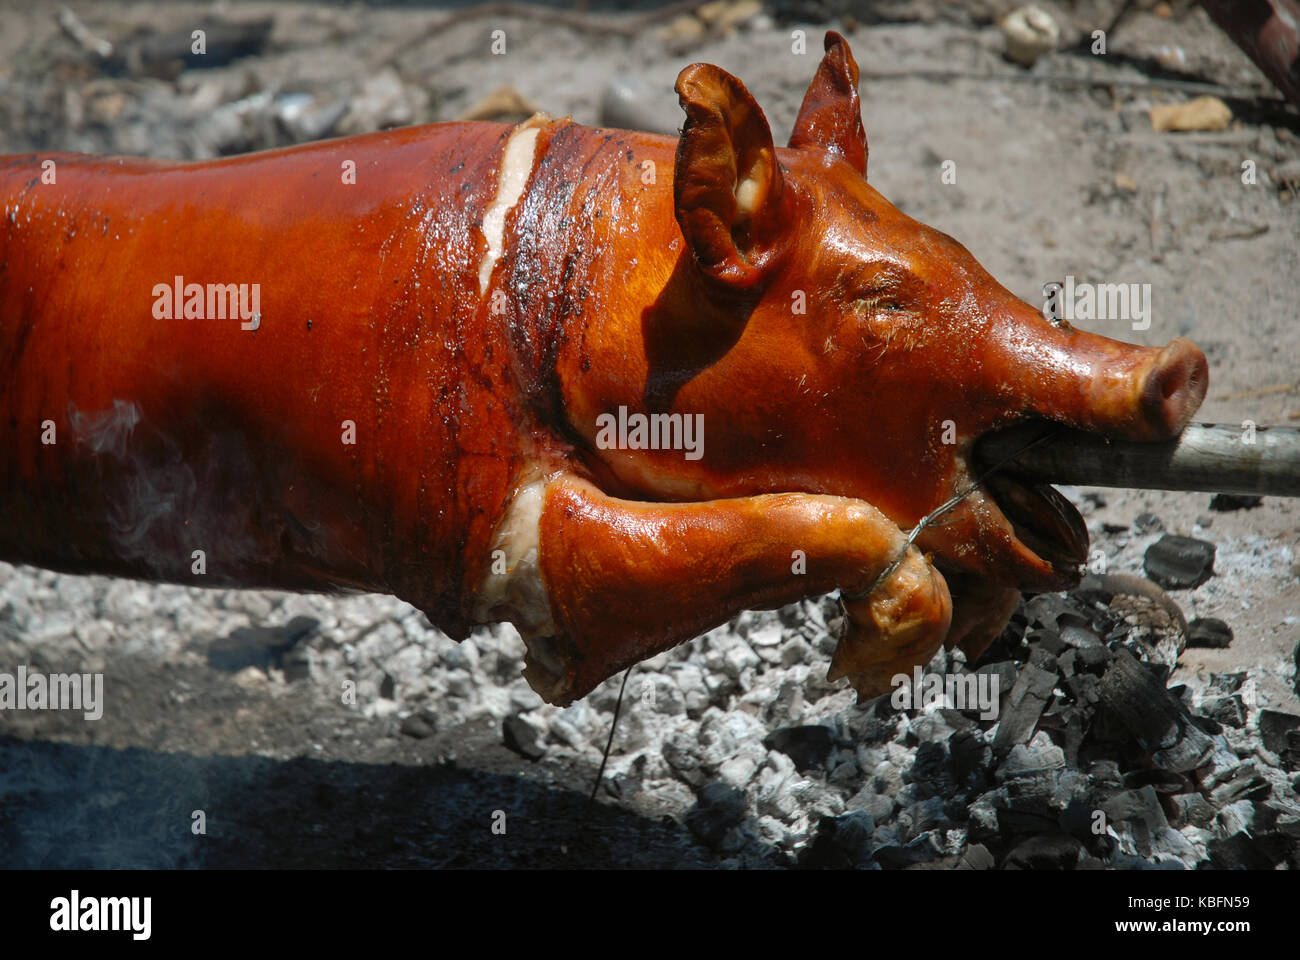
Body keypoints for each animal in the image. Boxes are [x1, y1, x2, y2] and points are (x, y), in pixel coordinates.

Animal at [0, 32, 1207, 706]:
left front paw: (972, 620)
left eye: (960, 251)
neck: (551, 294)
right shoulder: (483, 527)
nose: (1178, 369)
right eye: (882, 298)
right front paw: (861, 668)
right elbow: (815, 525)